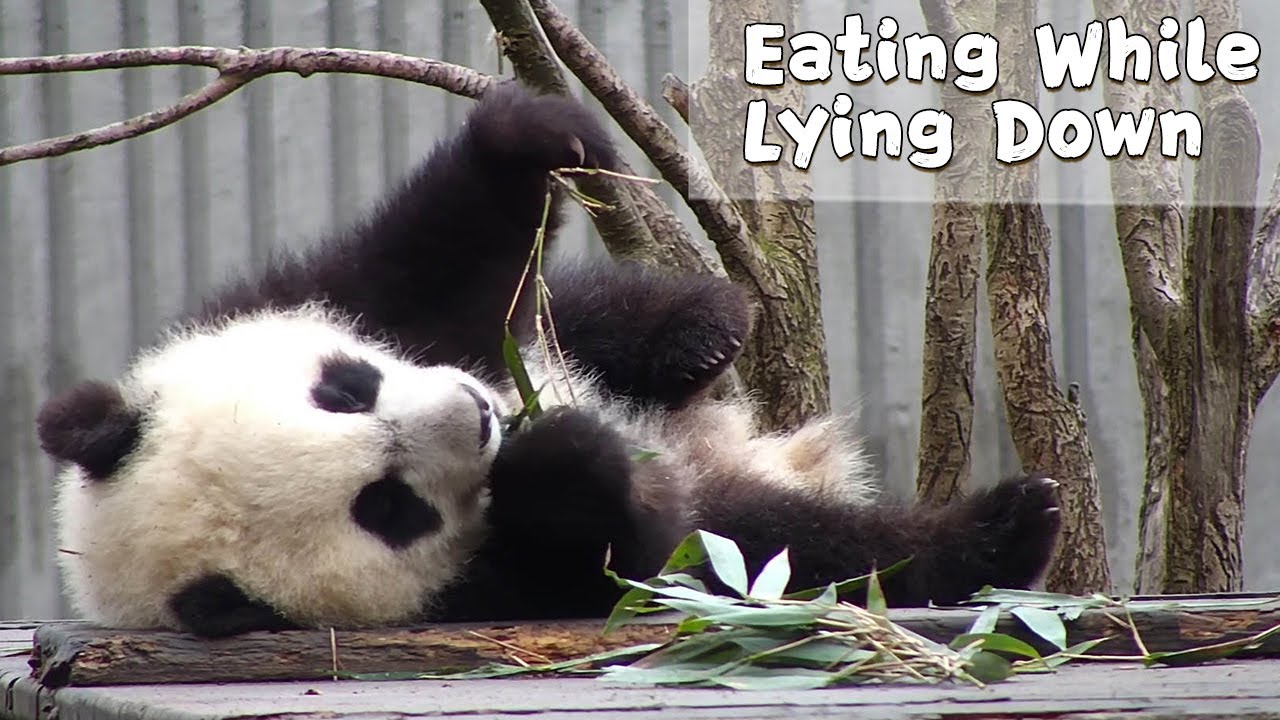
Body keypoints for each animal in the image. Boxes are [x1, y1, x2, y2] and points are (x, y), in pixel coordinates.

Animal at [35, 82, 1062, 638]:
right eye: (387, 509)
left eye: (344, 388)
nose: (480, 416)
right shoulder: (487, 587)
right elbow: (632, 556)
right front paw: (565, 458)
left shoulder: (312, 301)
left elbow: (442, 267)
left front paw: (536, 136)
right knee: (797, 544)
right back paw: (1004, 529)